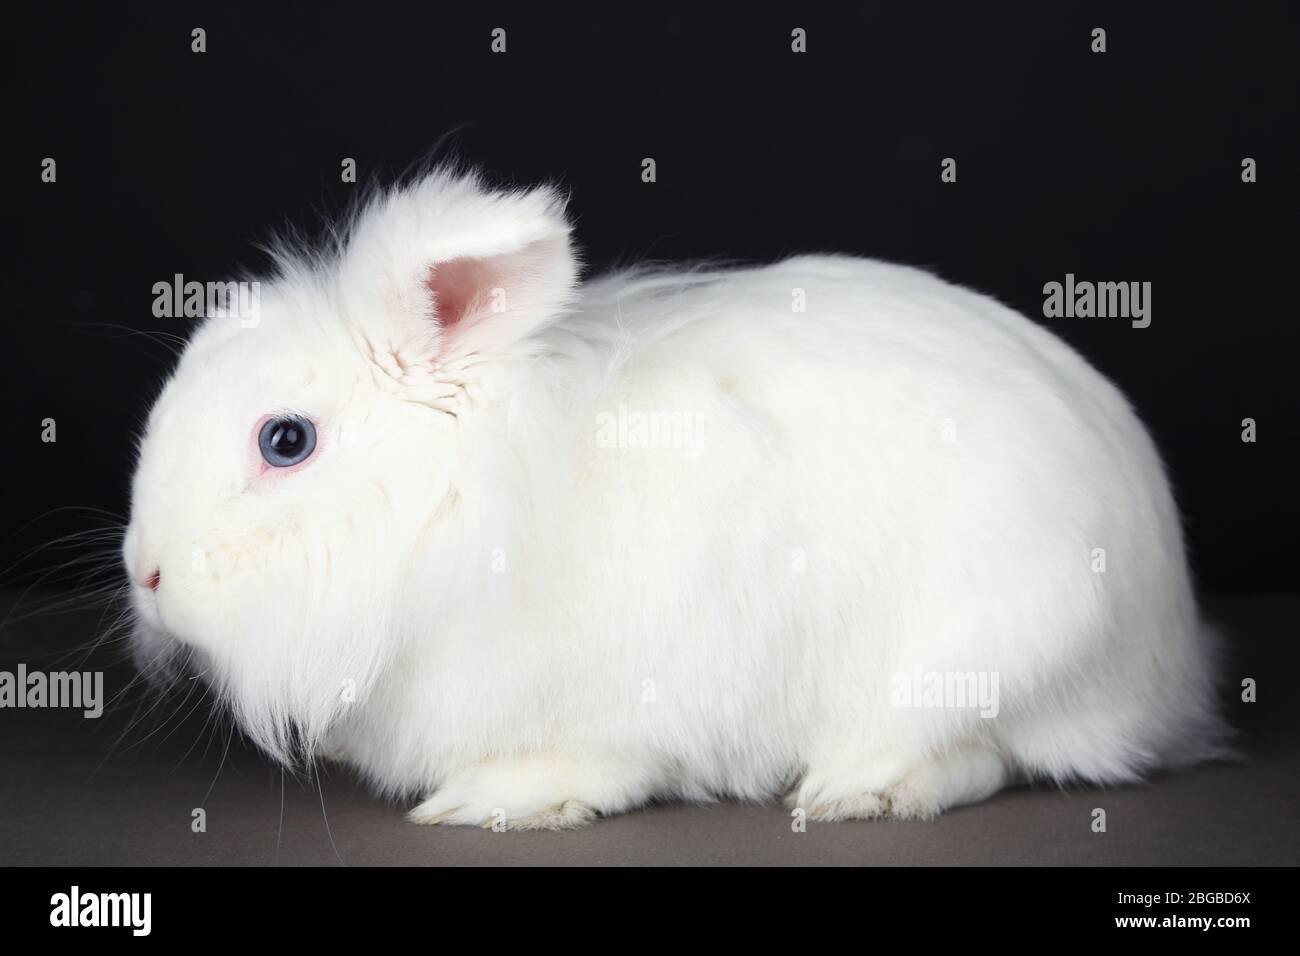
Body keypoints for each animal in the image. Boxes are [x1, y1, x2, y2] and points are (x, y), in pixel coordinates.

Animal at [123, 168, 1231, 829]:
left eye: (286, 441)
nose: (148, 573)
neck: (465, 504)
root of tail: (1166, 658)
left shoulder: (618, 706)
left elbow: (591, 765)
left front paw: (489, 801)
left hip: (997, 647)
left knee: (979, 754)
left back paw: (853, 788)